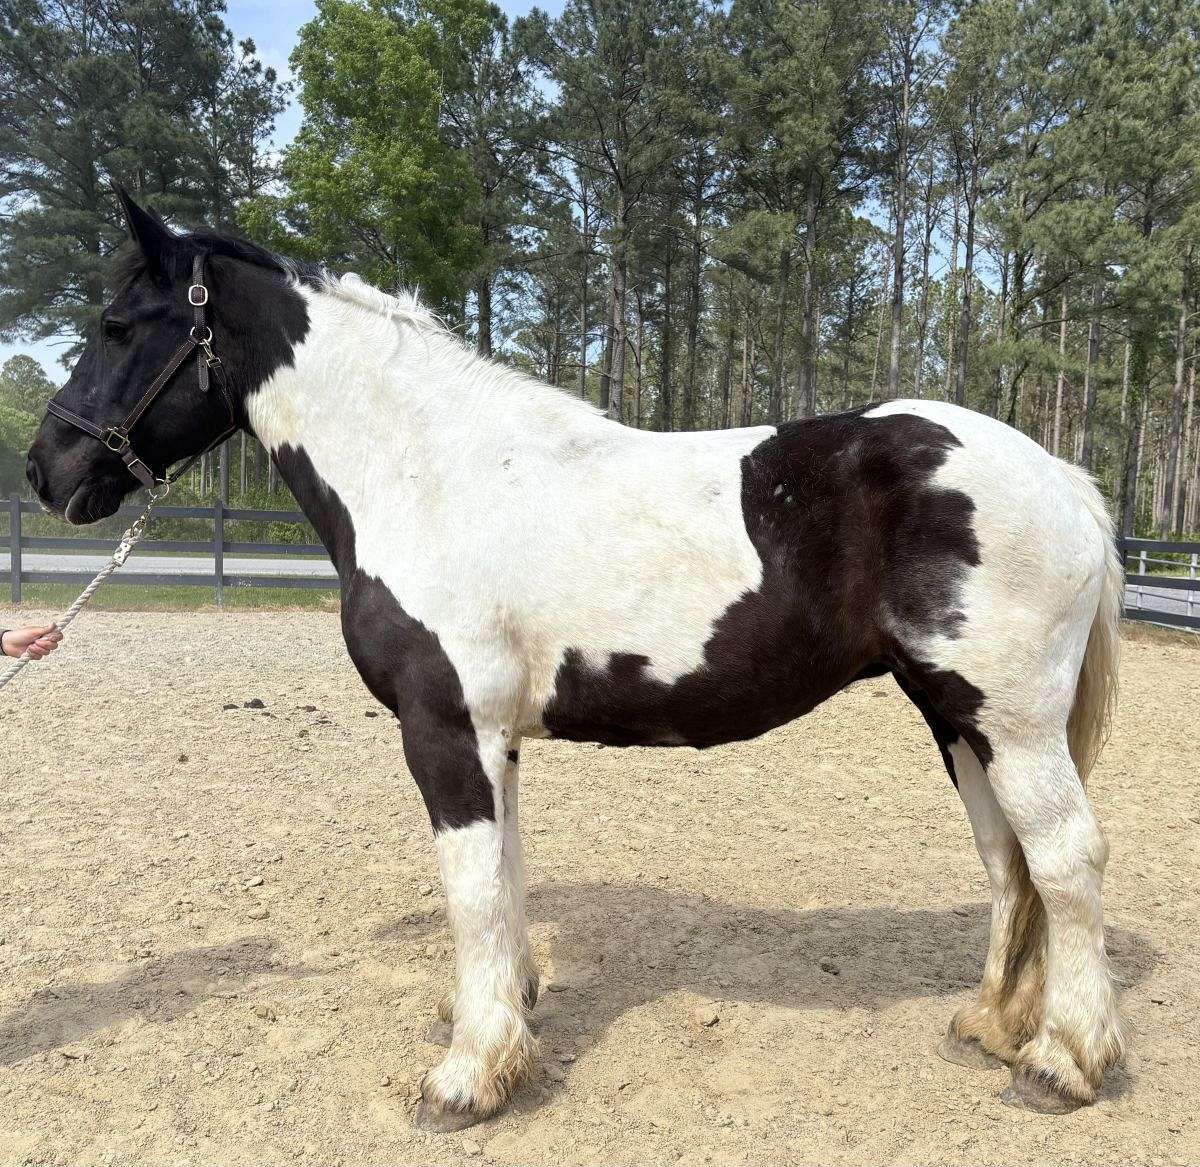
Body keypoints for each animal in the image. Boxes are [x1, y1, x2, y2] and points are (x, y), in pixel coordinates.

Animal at [26, 191, 1125, 1130]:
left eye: (119, 324)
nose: (47, 469)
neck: (429, 473)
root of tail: (1064, 478)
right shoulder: (494, 736)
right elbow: (506, 874)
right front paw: (503, 1019)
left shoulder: (444, 728)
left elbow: (470, 886)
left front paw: (467, 1078)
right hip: (955, 716)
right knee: (1008, 861)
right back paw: (992, 1024)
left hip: (1012, 721)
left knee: (1065, 858)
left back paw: (1063, 1062)